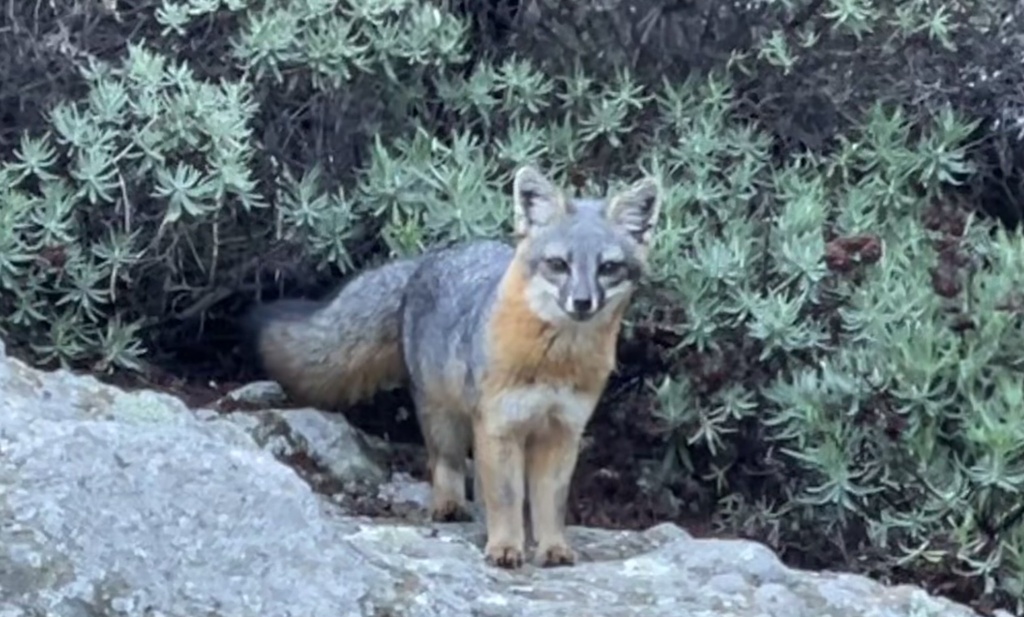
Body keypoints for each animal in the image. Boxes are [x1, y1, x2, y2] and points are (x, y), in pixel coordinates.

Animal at [246, 165, 662, 569]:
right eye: (558, 264)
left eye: (608, 267)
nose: (582, 301)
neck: (553, 363)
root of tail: (429, 259)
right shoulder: (499, 425)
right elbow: (505, 498)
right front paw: (505, 547)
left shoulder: (561, 431)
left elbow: (549, 504)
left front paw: (552, 547)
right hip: (445, 420)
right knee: (448, 466)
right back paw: (451, 507)